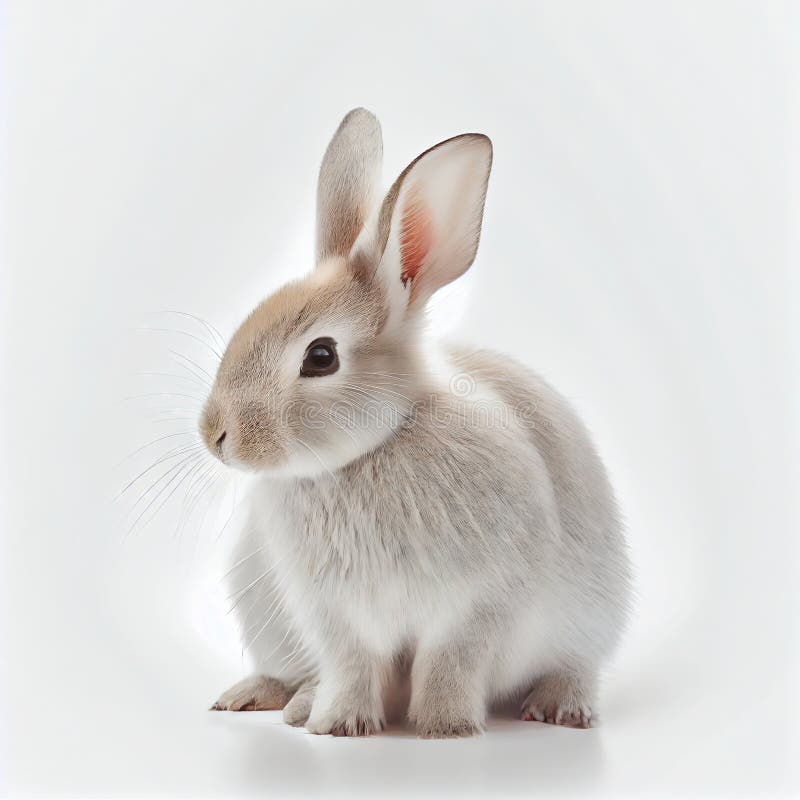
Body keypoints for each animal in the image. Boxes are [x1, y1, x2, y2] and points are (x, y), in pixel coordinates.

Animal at [204, 108, 631, 737]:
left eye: (321, 356)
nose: (214, 435)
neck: (374, 447)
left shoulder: (478, 606)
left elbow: (449, 663)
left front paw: (445, 728)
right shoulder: (332, 617)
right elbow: (353, 667)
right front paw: (338, 724)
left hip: (591, 616)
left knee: (574, 664)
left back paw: (561, 708)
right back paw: (270, 700)